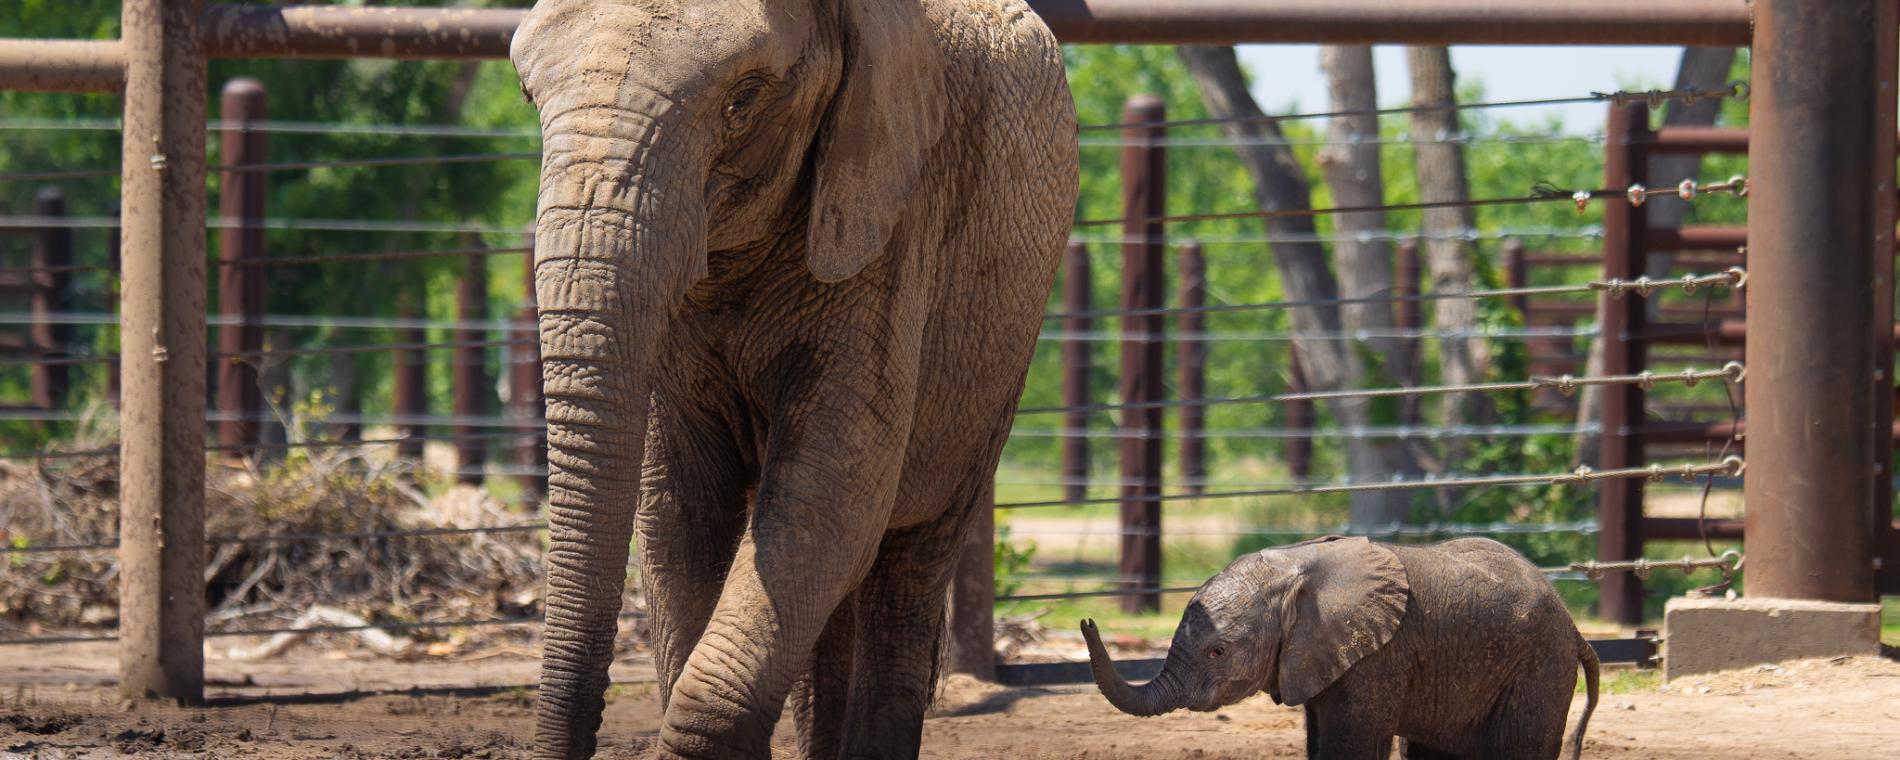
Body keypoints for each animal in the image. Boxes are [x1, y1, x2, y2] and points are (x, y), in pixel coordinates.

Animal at [508, 0, 1077, 757]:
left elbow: (830, 498)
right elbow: (680, 513)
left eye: (743, 99)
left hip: (1000, 353)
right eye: (528, 95)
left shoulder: (890, 224)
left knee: (909, 559)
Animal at [1081, 536, 1601, 760]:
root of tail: (1575, 628)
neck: (1293, 566)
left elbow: (1350, 743)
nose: (1087, 620)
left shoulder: (1379, 657)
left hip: (1539, 668)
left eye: (1217, 652)